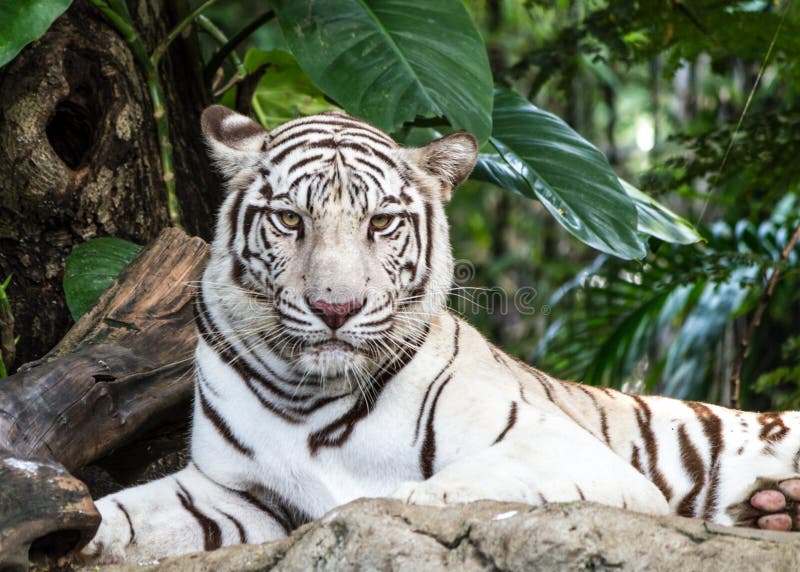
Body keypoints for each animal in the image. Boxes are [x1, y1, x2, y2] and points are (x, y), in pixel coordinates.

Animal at [82, 105, 800, 564]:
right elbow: (128, 510)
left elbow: (454, 486)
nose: (335, 308)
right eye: (289, 220)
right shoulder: (232, 490)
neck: (307, 397)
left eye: (380, 223)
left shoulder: (558, 448)